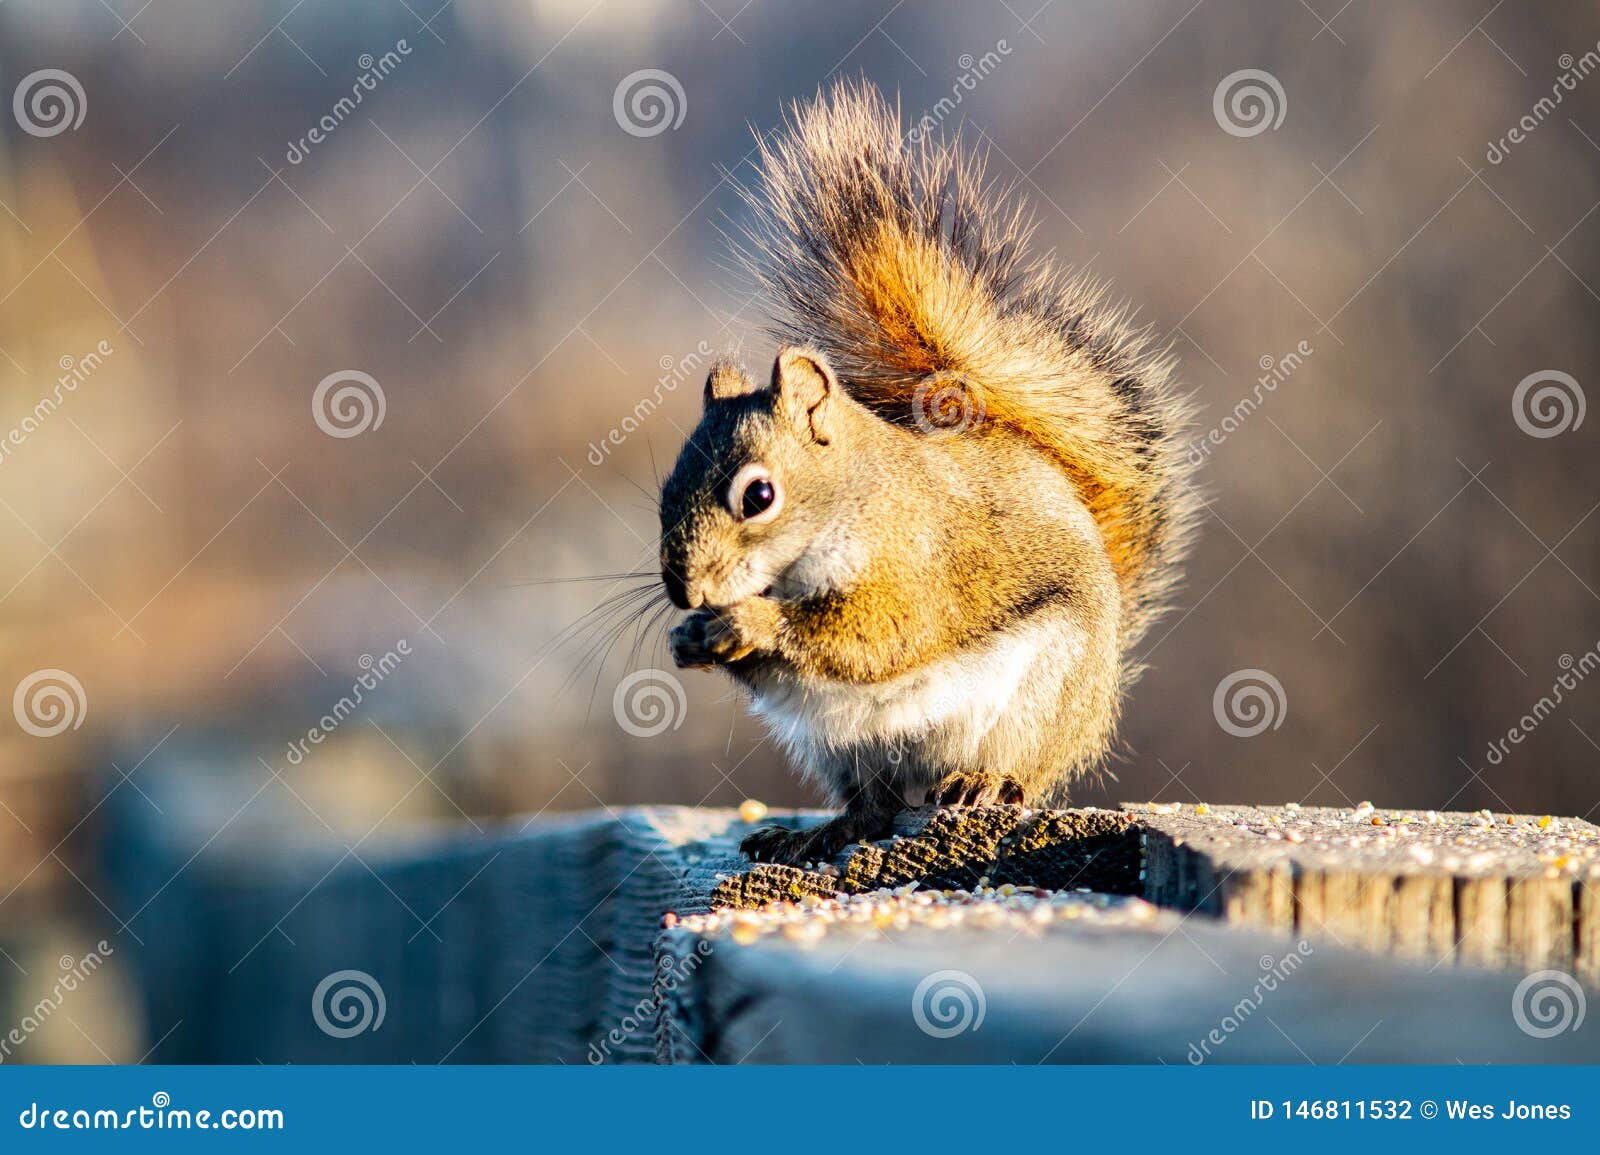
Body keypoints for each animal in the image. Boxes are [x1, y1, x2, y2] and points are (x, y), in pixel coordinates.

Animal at [659, 81, 1200, 865]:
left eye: (758, 494)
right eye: (667, 488)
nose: (685, 590)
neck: (851, 500)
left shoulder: (918, 563)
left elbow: (877, 634)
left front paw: (751, 620)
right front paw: (693, 637)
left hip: (1039, 697)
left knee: (1015, 772)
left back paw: (984, 781)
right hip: (840, 746)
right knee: (876, 805)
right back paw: (823, 830)